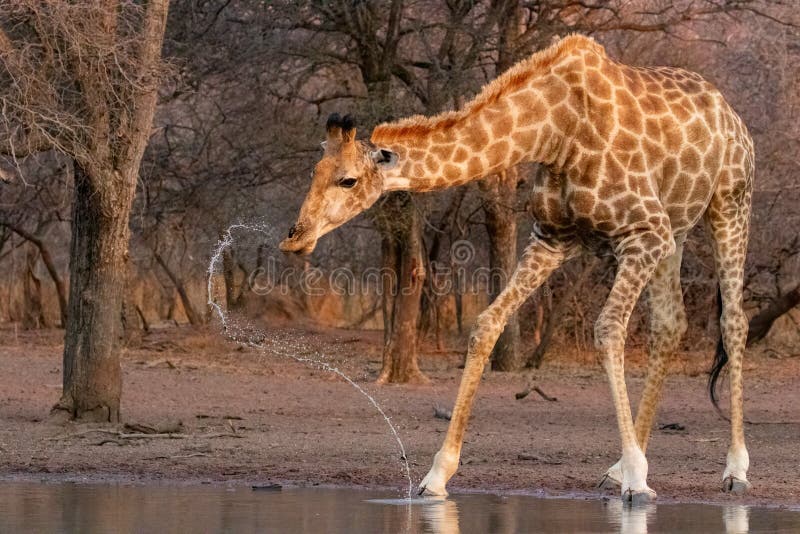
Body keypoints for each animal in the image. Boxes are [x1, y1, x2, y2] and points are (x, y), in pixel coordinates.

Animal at [279, 34, 754, 502]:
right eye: (315, 171)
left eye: (348, 180)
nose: (295, 236)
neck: (555, 130)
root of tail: (732, 115)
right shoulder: (552, 237)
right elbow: (488, 323)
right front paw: (438, 474)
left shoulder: (643, 231)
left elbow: (607, 328)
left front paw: (638, 479)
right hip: (676, 230)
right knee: (671, 323)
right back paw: (617, 469)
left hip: (728, 204)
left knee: (733, 321)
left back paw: (734, 470)